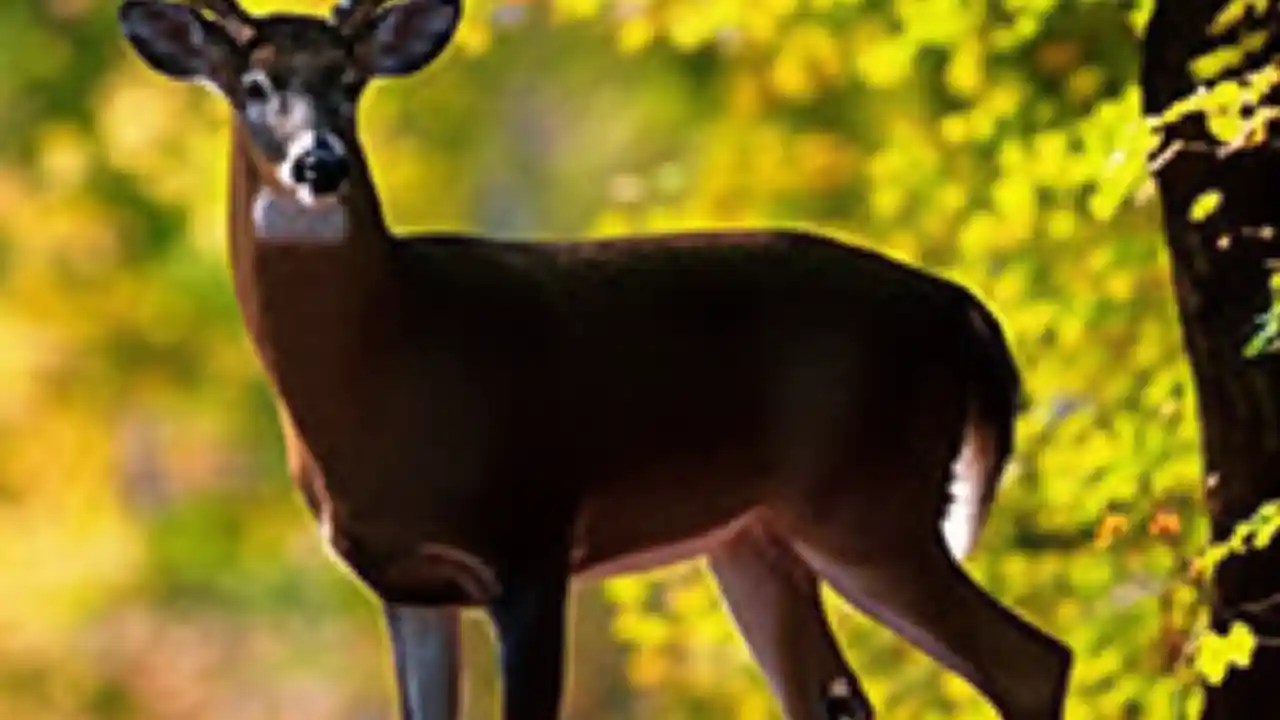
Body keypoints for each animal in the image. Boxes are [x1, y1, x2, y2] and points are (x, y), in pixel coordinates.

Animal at [116, 1, 1071, 718]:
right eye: (252, 86)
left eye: (351, 83)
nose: (321, 163)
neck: (394, 361)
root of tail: (959, 309)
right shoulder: (410, 585)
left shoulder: (533, 533)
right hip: (758, 535)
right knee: (838, 697)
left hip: (867, 498)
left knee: (1033, 662)